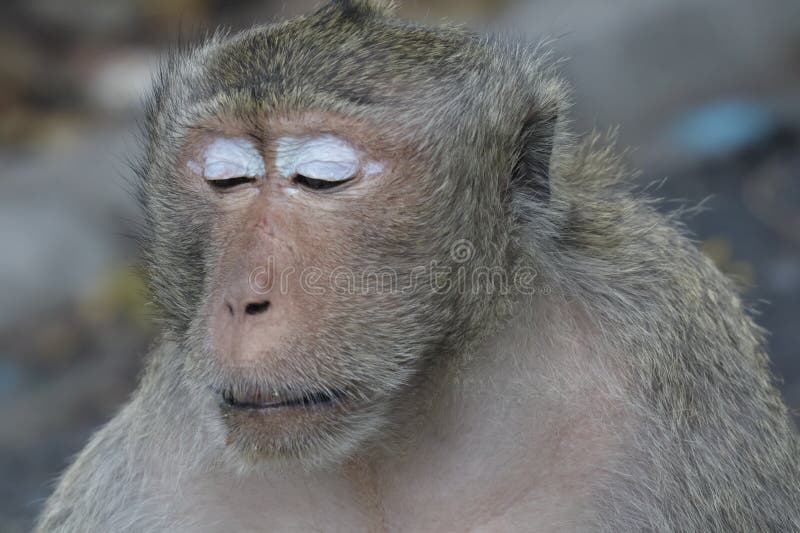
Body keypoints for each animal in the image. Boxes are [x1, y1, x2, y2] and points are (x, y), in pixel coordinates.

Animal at [36, 1, 800, 531]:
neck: (395, 434)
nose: (245, 299)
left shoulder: (669, 353)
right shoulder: (148, 471)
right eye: (226, 180)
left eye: (321, 178)